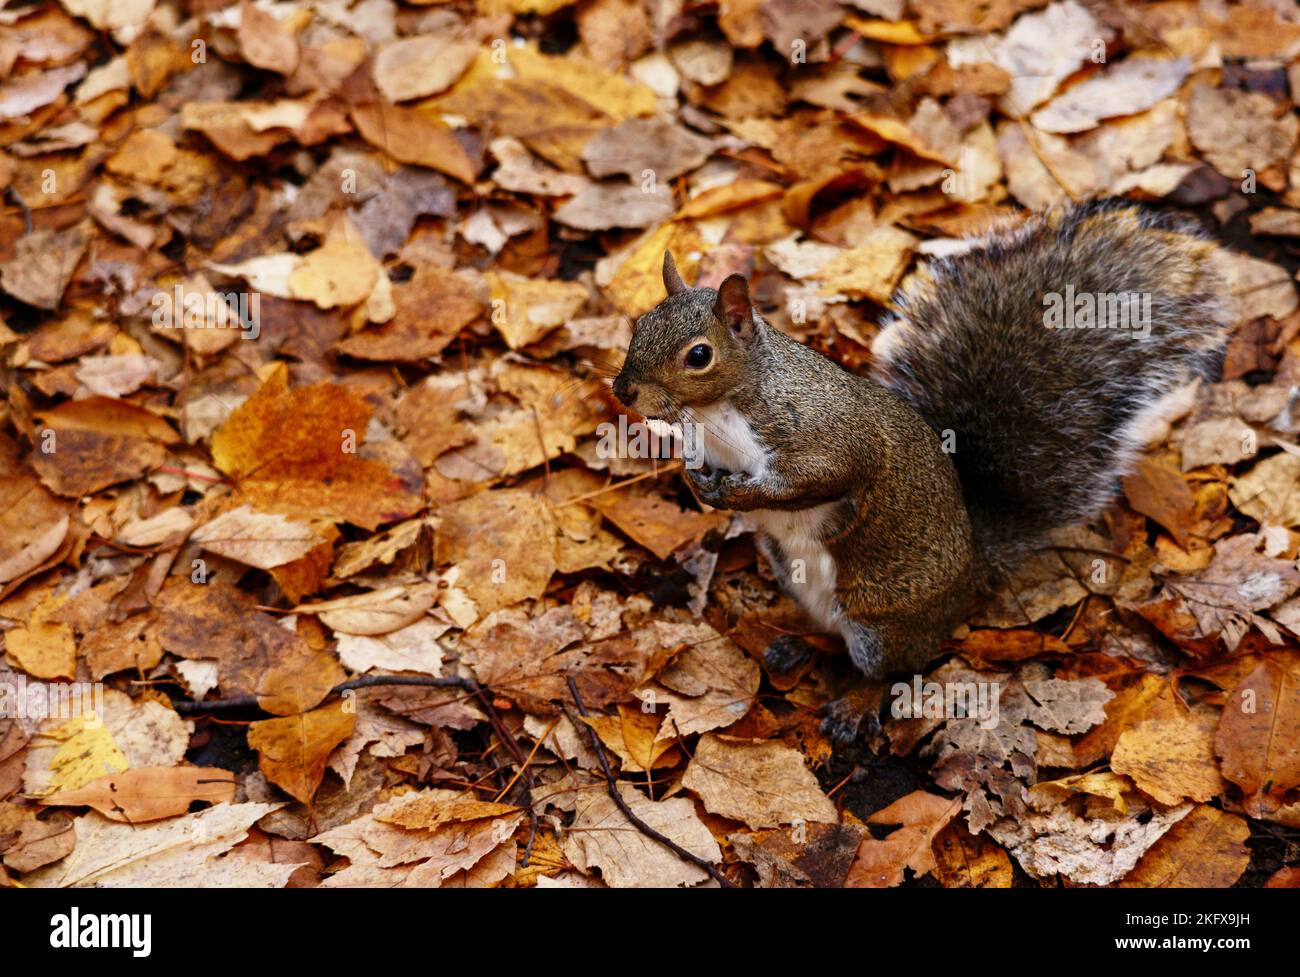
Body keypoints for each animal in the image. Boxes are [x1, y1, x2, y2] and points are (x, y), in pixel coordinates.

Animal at [611, 200, 1230, 746]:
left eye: (699, 356)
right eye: (639, 325)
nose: (623, 391)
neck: (722, 410)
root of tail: (975, 572)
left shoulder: (826, 439)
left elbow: (815, 482)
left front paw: (742, 495)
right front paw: (697, 482)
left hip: (881, 623)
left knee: (890, 669)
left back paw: (855, 703)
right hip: (796, 576)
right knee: (828, 632)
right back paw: (793, 641)